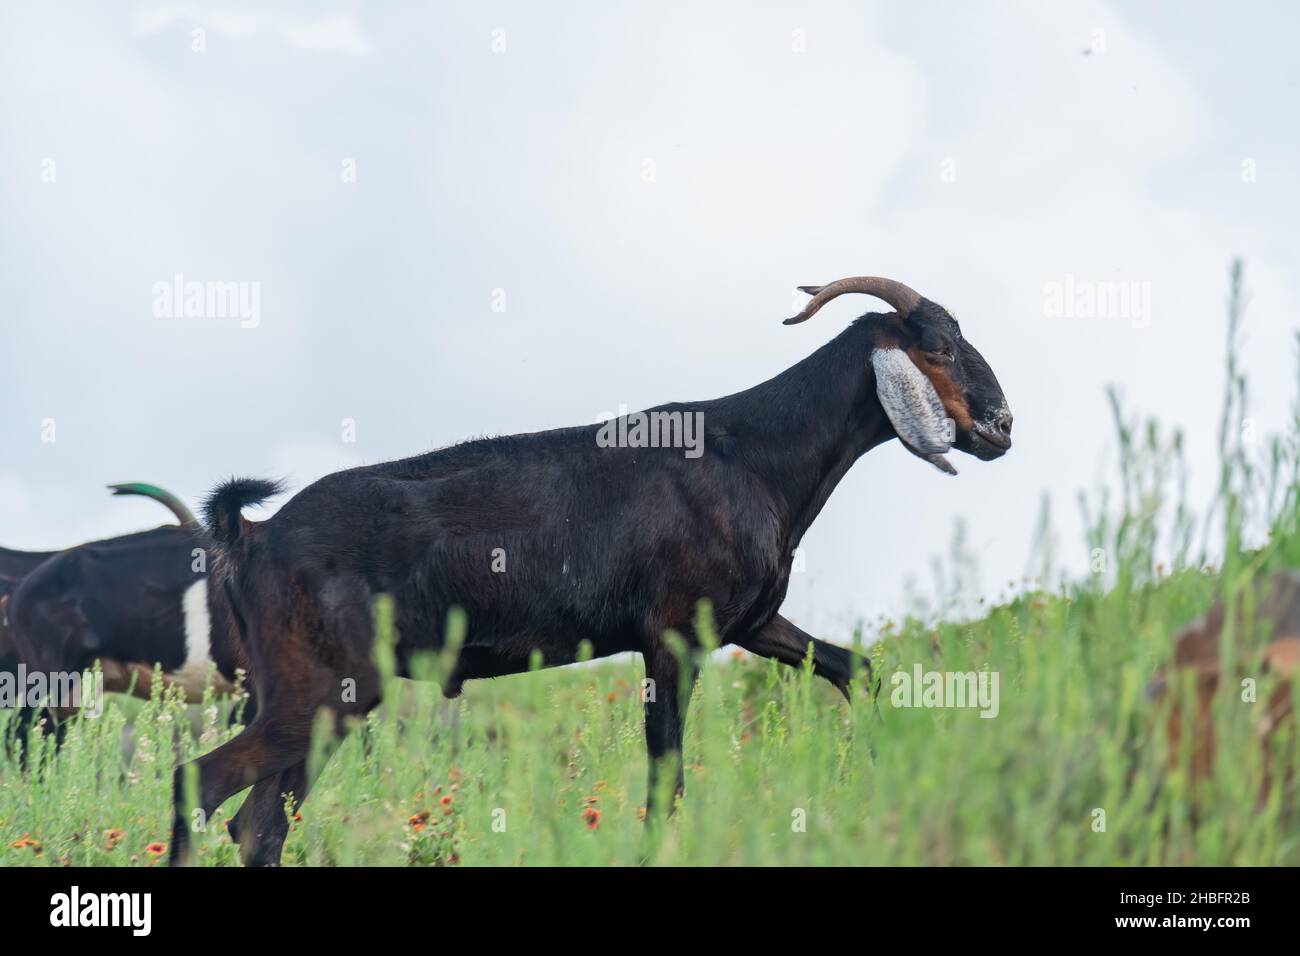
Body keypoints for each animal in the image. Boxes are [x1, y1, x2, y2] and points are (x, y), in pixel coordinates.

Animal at [171, 276, 1013, 866]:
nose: (1002, 426)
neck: (754, 453)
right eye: (936, 347)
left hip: (318, 696)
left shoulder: (751, 622)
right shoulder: (672, 638)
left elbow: (856, 670)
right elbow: (666, 775)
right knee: (203, 785)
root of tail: (252, 537)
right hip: (323, 684)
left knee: (257, 824)